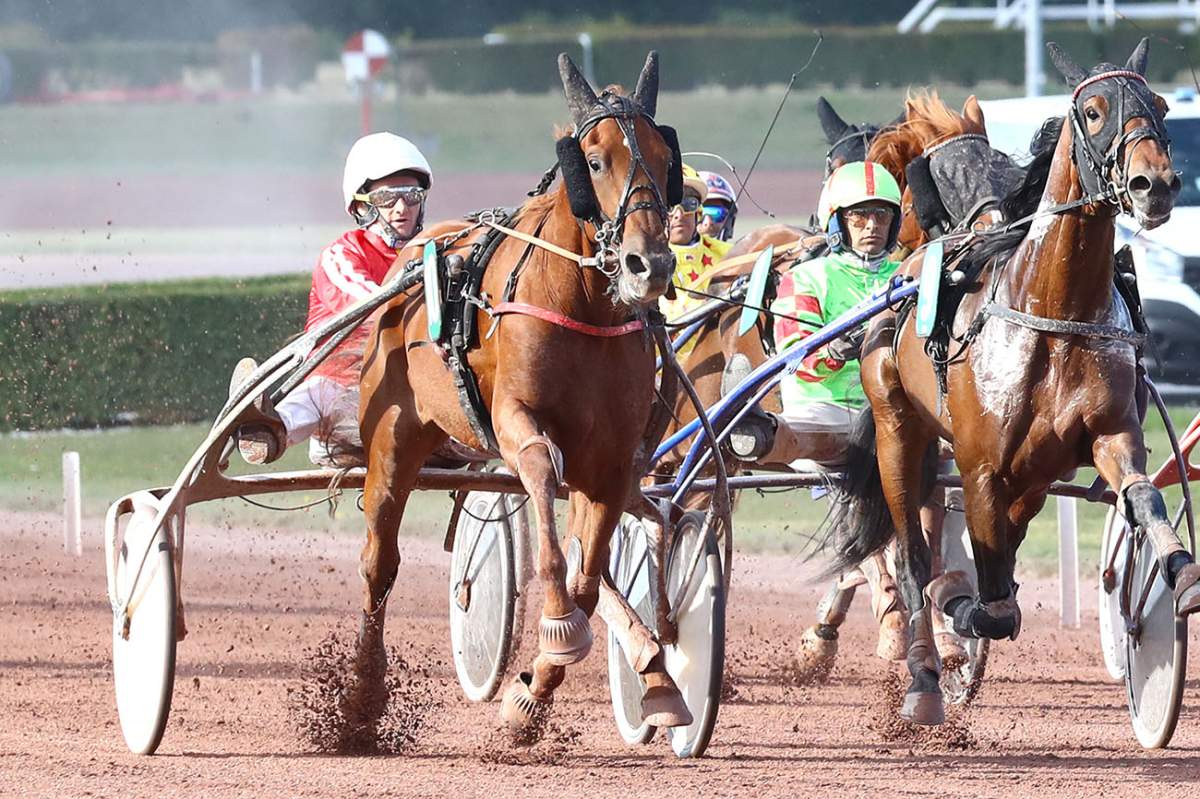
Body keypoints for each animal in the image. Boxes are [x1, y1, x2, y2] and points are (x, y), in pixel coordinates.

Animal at [351, 52, 692, 745]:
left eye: (662, 158)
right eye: (594, 160)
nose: (650, 264)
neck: (582, 306)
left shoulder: (611, 459)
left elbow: (590, 577)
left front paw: (531, 692)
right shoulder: (516, 419)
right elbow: (540, 470)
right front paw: (557, 629)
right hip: (393, 438)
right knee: (379, 561)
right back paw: (364, 697)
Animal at [830, 38, 1200, 727]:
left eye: (1161, 105)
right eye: (1093, 111)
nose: (1156, 185)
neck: (1053, 312)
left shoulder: (1109, 436)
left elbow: (1144, 496)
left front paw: (1181, 576)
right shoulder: (980, 465)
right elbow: (992, 603)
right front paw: (964, 619)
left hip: (1032, 475)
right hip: (898, 431)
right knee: (913, 555)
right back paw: (925, 677)